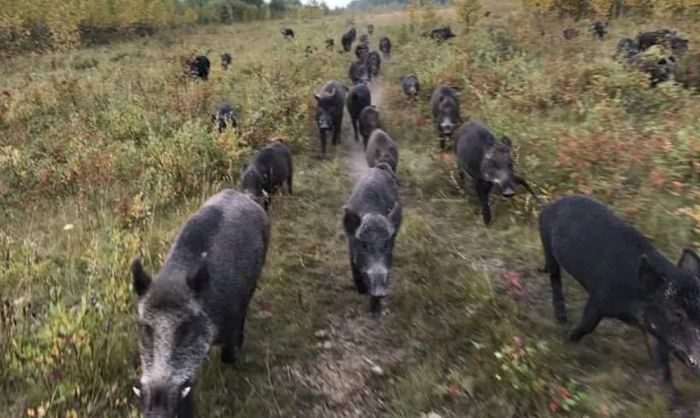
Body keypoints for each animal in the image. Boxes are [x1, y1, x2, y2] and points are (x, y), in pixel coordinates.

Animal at [130, 189, 268, 418]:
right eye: (146, 328)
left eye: (186, 328)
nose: (157, 410)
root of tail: (244, 195)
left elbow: (228, 354)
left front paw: (238, 356)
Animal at [343, 163, 402, 317]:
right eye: (364, 245)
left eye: (386, 245)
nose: (380, 291)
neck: (372, 214)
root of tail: (378, 168)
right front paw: (361, 292)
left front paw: (376, 313)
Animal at [539, 194, 700, 398]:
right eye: (676, 313)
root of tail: (551, 204)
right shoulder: (599, 299)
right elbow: (587, 325)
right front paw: (568, 340)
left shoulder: (654, 330)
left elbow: (662, 362)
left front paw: (673, 399)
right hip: (546, 242)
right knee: (555, 276)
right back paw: (561, 318)